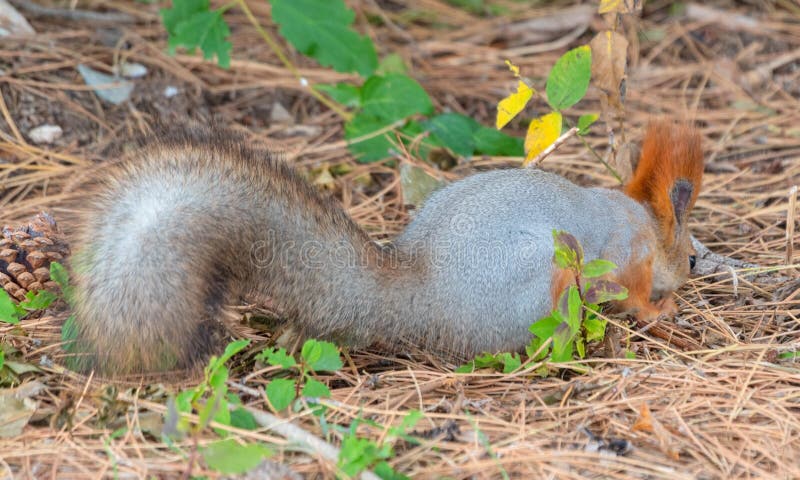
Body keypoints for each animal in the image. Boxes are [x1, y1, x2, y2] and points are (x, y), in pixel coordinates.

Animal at [66, 120, 703, 376]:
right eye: (692, 256)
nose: (696, 271)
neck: (643, 223)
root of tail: (422, 296)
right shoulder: (624, 255)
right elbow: (631, 292)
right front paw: (660, 309)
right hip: (545, 276)